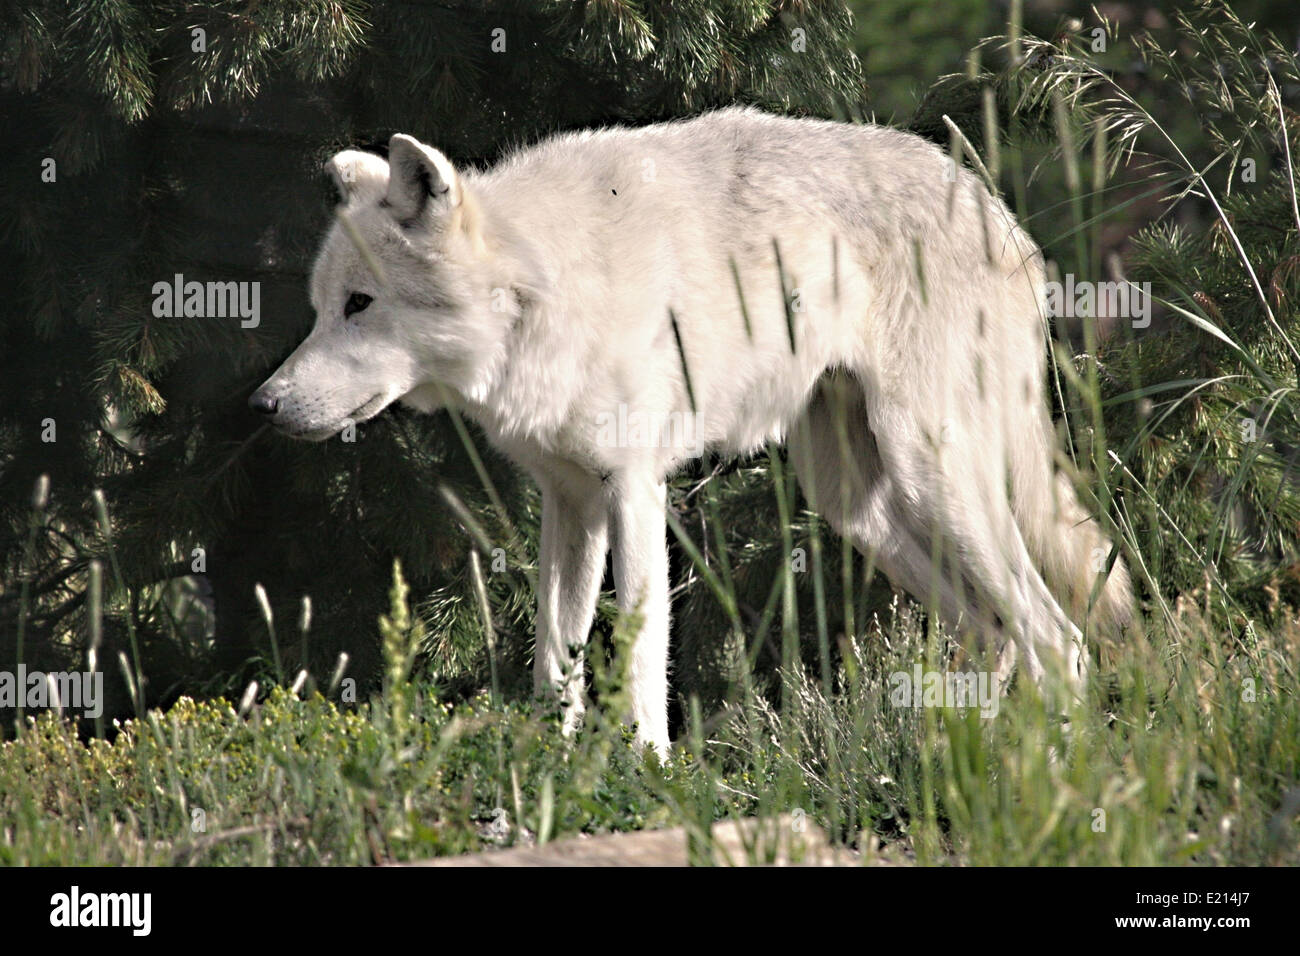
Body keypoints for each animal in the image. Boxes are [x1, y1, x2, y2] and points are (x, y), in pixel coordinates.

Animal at [250, 107, 1133, 752]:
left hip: (935, 475)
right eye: (322, 308)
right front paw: (550, 769)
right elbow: (555, 655)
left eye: (360, 304)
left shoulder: (635, 490)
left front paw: (647, 771)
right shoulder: (570, 503)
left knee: (1057, 639)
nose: (262, 405)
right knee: (998, 637)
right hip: (856, 504)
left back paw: (1054, 776)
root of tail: (999, 212)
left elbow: (640, 650)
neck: (544, 288)